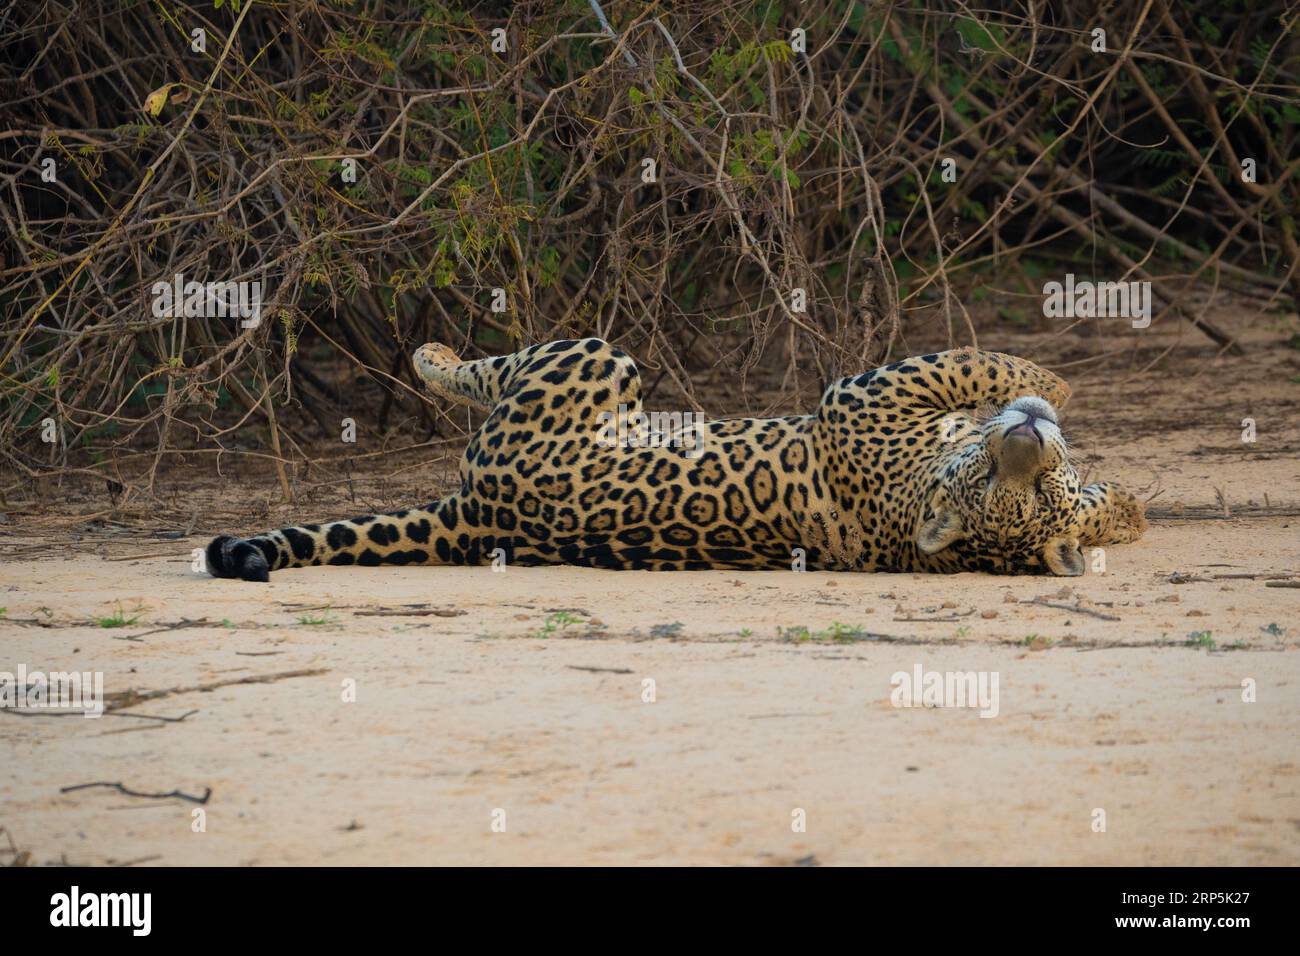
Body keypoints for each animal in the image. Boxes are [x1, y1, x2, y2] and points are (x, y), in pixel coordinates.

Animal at [206, 337, 1146, 582]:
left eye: (1022, 488)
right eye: (993, 478)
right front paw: (1120, 503)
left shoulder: (863, 392)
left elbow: (975, 363)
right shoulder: (872, 394)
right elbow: (981, 368)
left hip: (589, 359)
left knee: (479, 368)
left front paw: (1053, 387)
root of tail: (473, 520)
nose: (1024, 436)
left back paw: (427, 352)